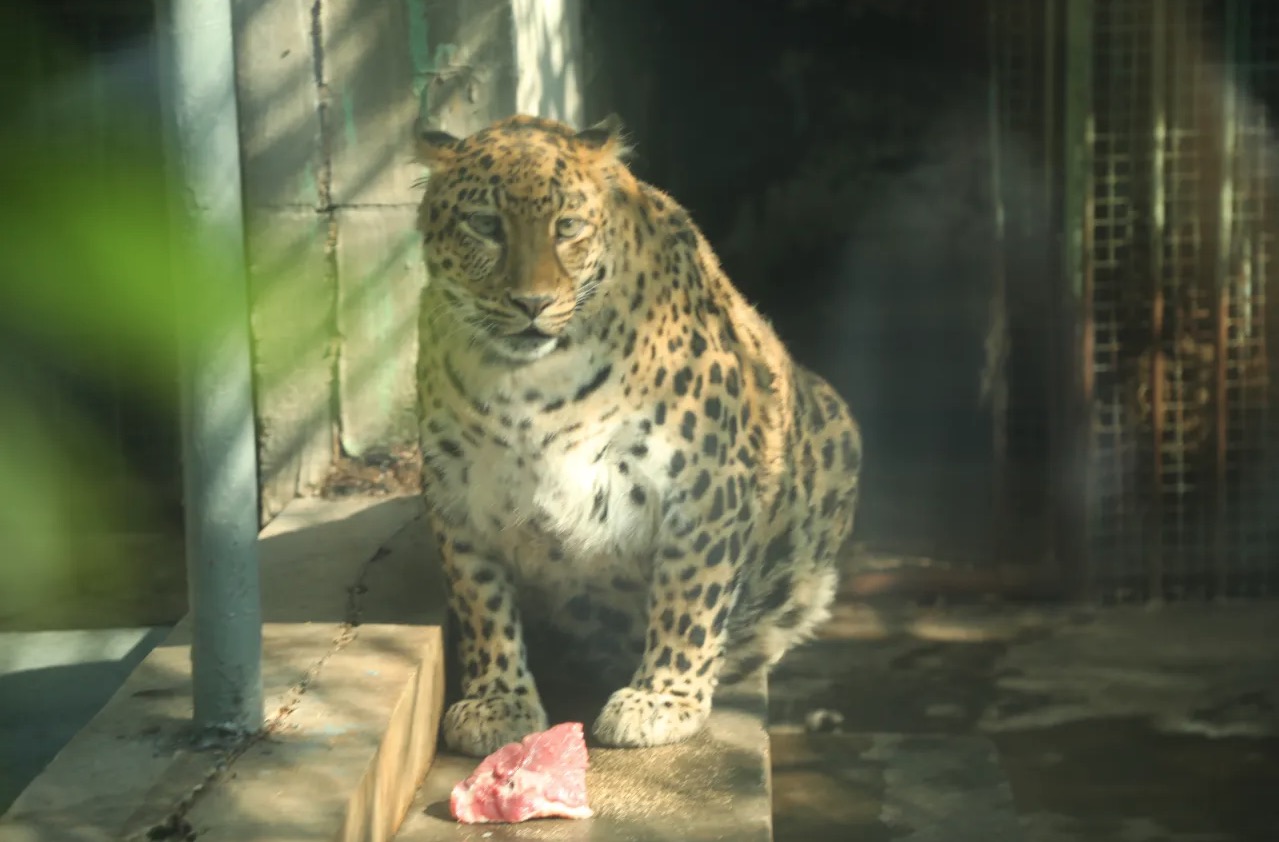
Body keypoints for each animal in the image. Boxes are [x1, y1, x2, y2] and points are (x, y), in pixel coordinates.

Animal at [413, 113, 862, 757]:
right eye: (485, 225)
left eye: (567, 227)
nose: (532, 303)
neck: (532, 387)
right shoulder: (458, 496)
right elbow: (481, 602)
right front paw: (496, 700)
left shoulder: (708, 485)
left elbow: (689, 594)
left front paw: (662, 699)